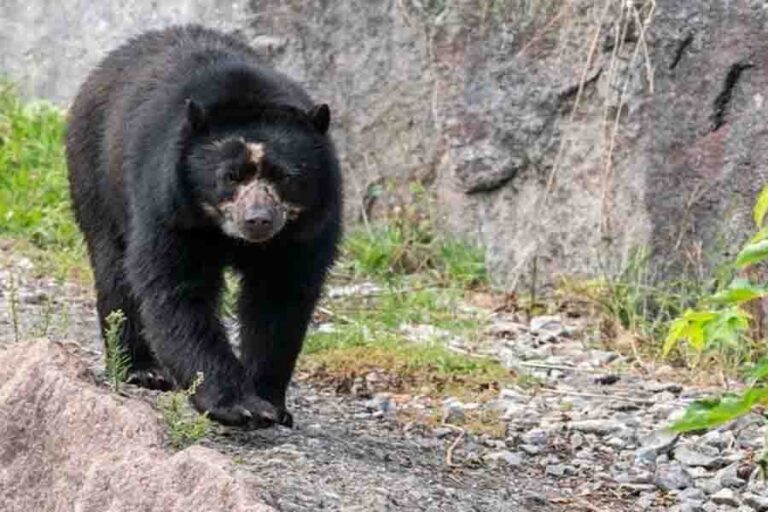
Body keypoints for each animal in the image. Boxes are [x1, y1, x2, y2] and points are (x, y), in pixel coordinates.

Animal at [65, 25, 342, 428]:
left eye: (285, 176)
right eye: (229, 176)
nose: (258, 219)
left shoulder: (304, 230)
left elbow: (280, 300)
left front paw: (272, 405)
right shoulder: (170, 208)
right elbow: (178, 290)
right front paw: (238, 405)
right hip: (96, 177)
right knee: (114, 269)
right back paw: (142, 369)